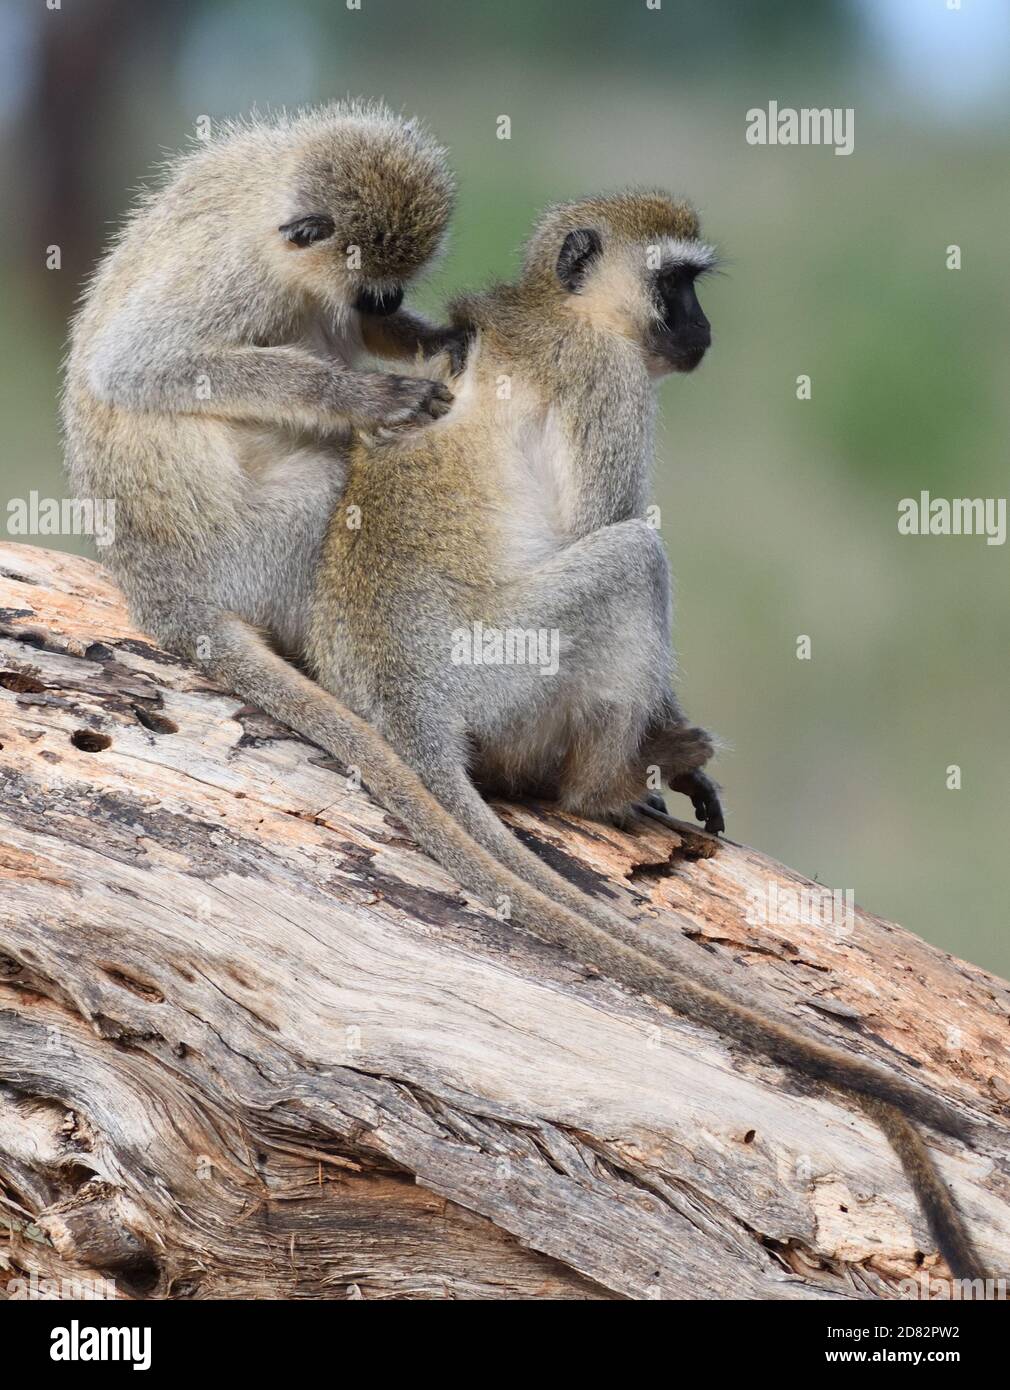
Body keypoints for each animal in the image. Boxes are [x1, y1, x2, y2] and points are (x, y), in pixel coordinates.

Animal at [63, 100, 465, 665]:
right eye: (371, 290)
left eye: (391, 292)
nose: (389, 302)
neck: (266, 190)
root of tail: (154, 590)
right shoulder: (236, 274)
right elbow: (132, 364)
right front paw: (365, 397)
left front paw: (438, 339)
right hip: (241, 558)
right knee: (324, 483)